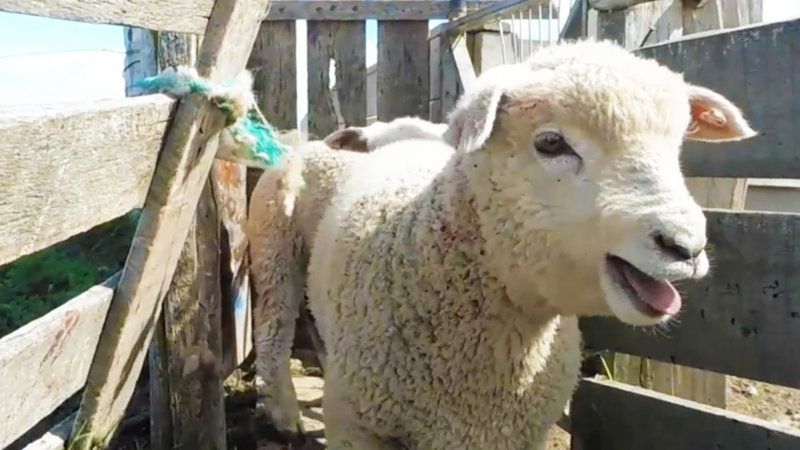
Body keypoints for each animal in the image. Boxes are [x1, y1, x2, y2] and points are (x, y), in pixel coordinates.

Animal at [247, 39, 756, 449]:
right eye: (550, 143)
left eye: (677, 147)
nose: (685, 246)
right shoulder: (358, 427)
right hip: (274, 250)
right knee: (273, 332)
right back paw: (286, 418)